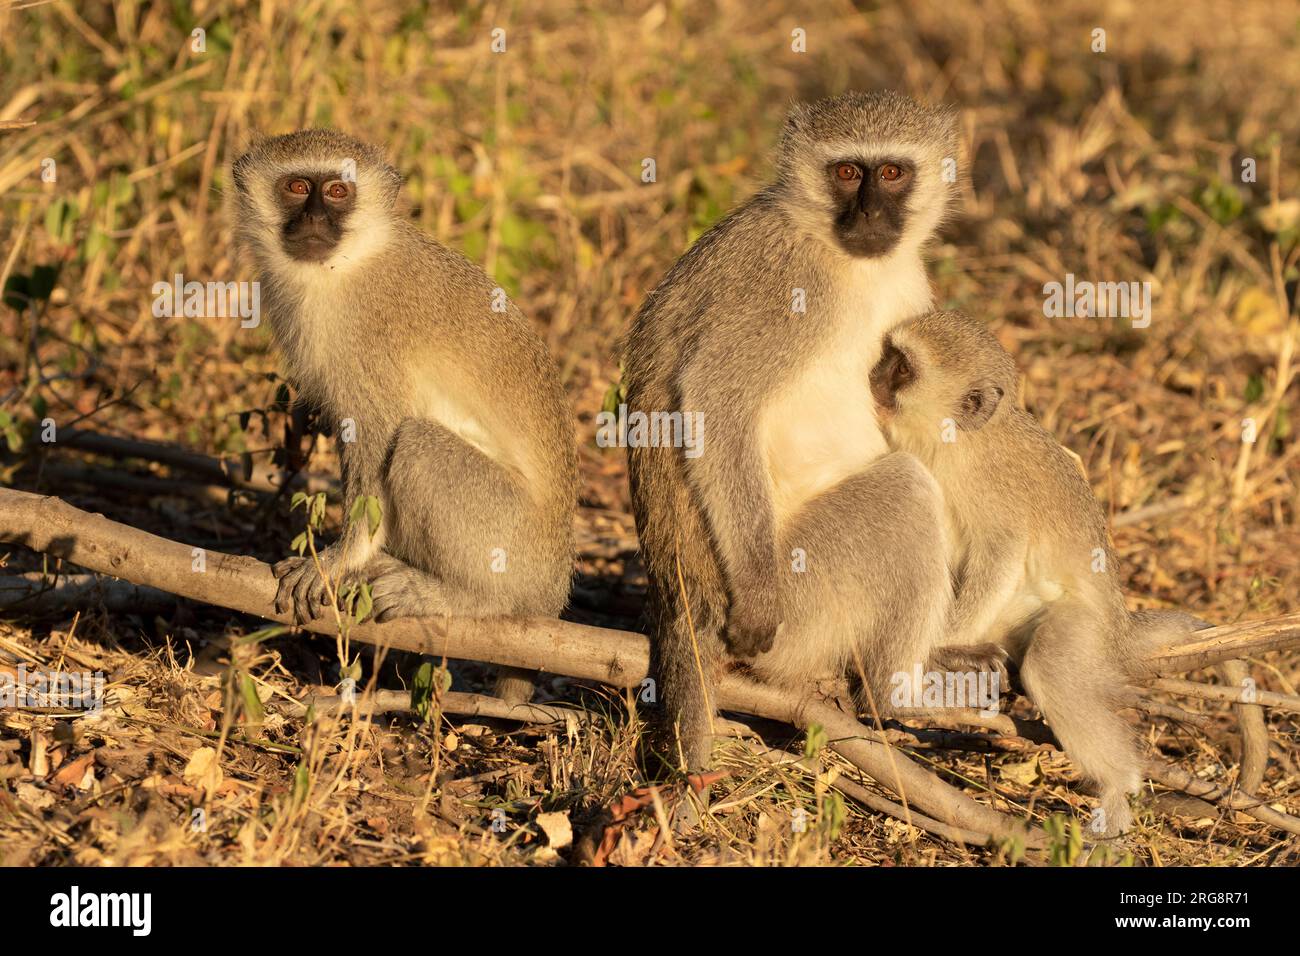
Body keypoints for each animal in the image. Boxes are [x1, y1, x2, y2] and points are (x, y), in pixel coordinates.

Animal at [227, 129, 578, 703]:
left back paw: (468, 599)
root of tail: (553, 590)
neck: (348, 262)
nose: (315, 220)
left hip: (512, 541)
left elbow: (377, 433)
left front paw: (339, 559)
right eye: (298, 187)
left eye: (338, 191)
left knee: (417, 443)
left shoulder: (370, 337)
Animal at [622, 91, 962, 773]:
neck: (845, 257)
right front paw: (756, 597)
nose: (869, 214)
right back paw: (891, 700)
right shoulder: (791, 282)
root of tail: (682, 612)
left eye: (891, 172)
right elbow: (714, 391)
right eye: (846, 172)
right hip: (804, 597)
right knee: (907, 493)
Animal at [868, 309, 1209, 834]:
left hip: (1086, 629)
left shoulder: (990, 487)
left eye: (902, 369)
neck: (957, 440)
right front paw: (951, 652)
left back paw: (1119, 785)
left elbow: (1002, 549)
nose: (871, 376)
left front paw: (942, 644)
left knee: (1053, 669)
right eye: (889, 354)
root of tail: (1121, 628)